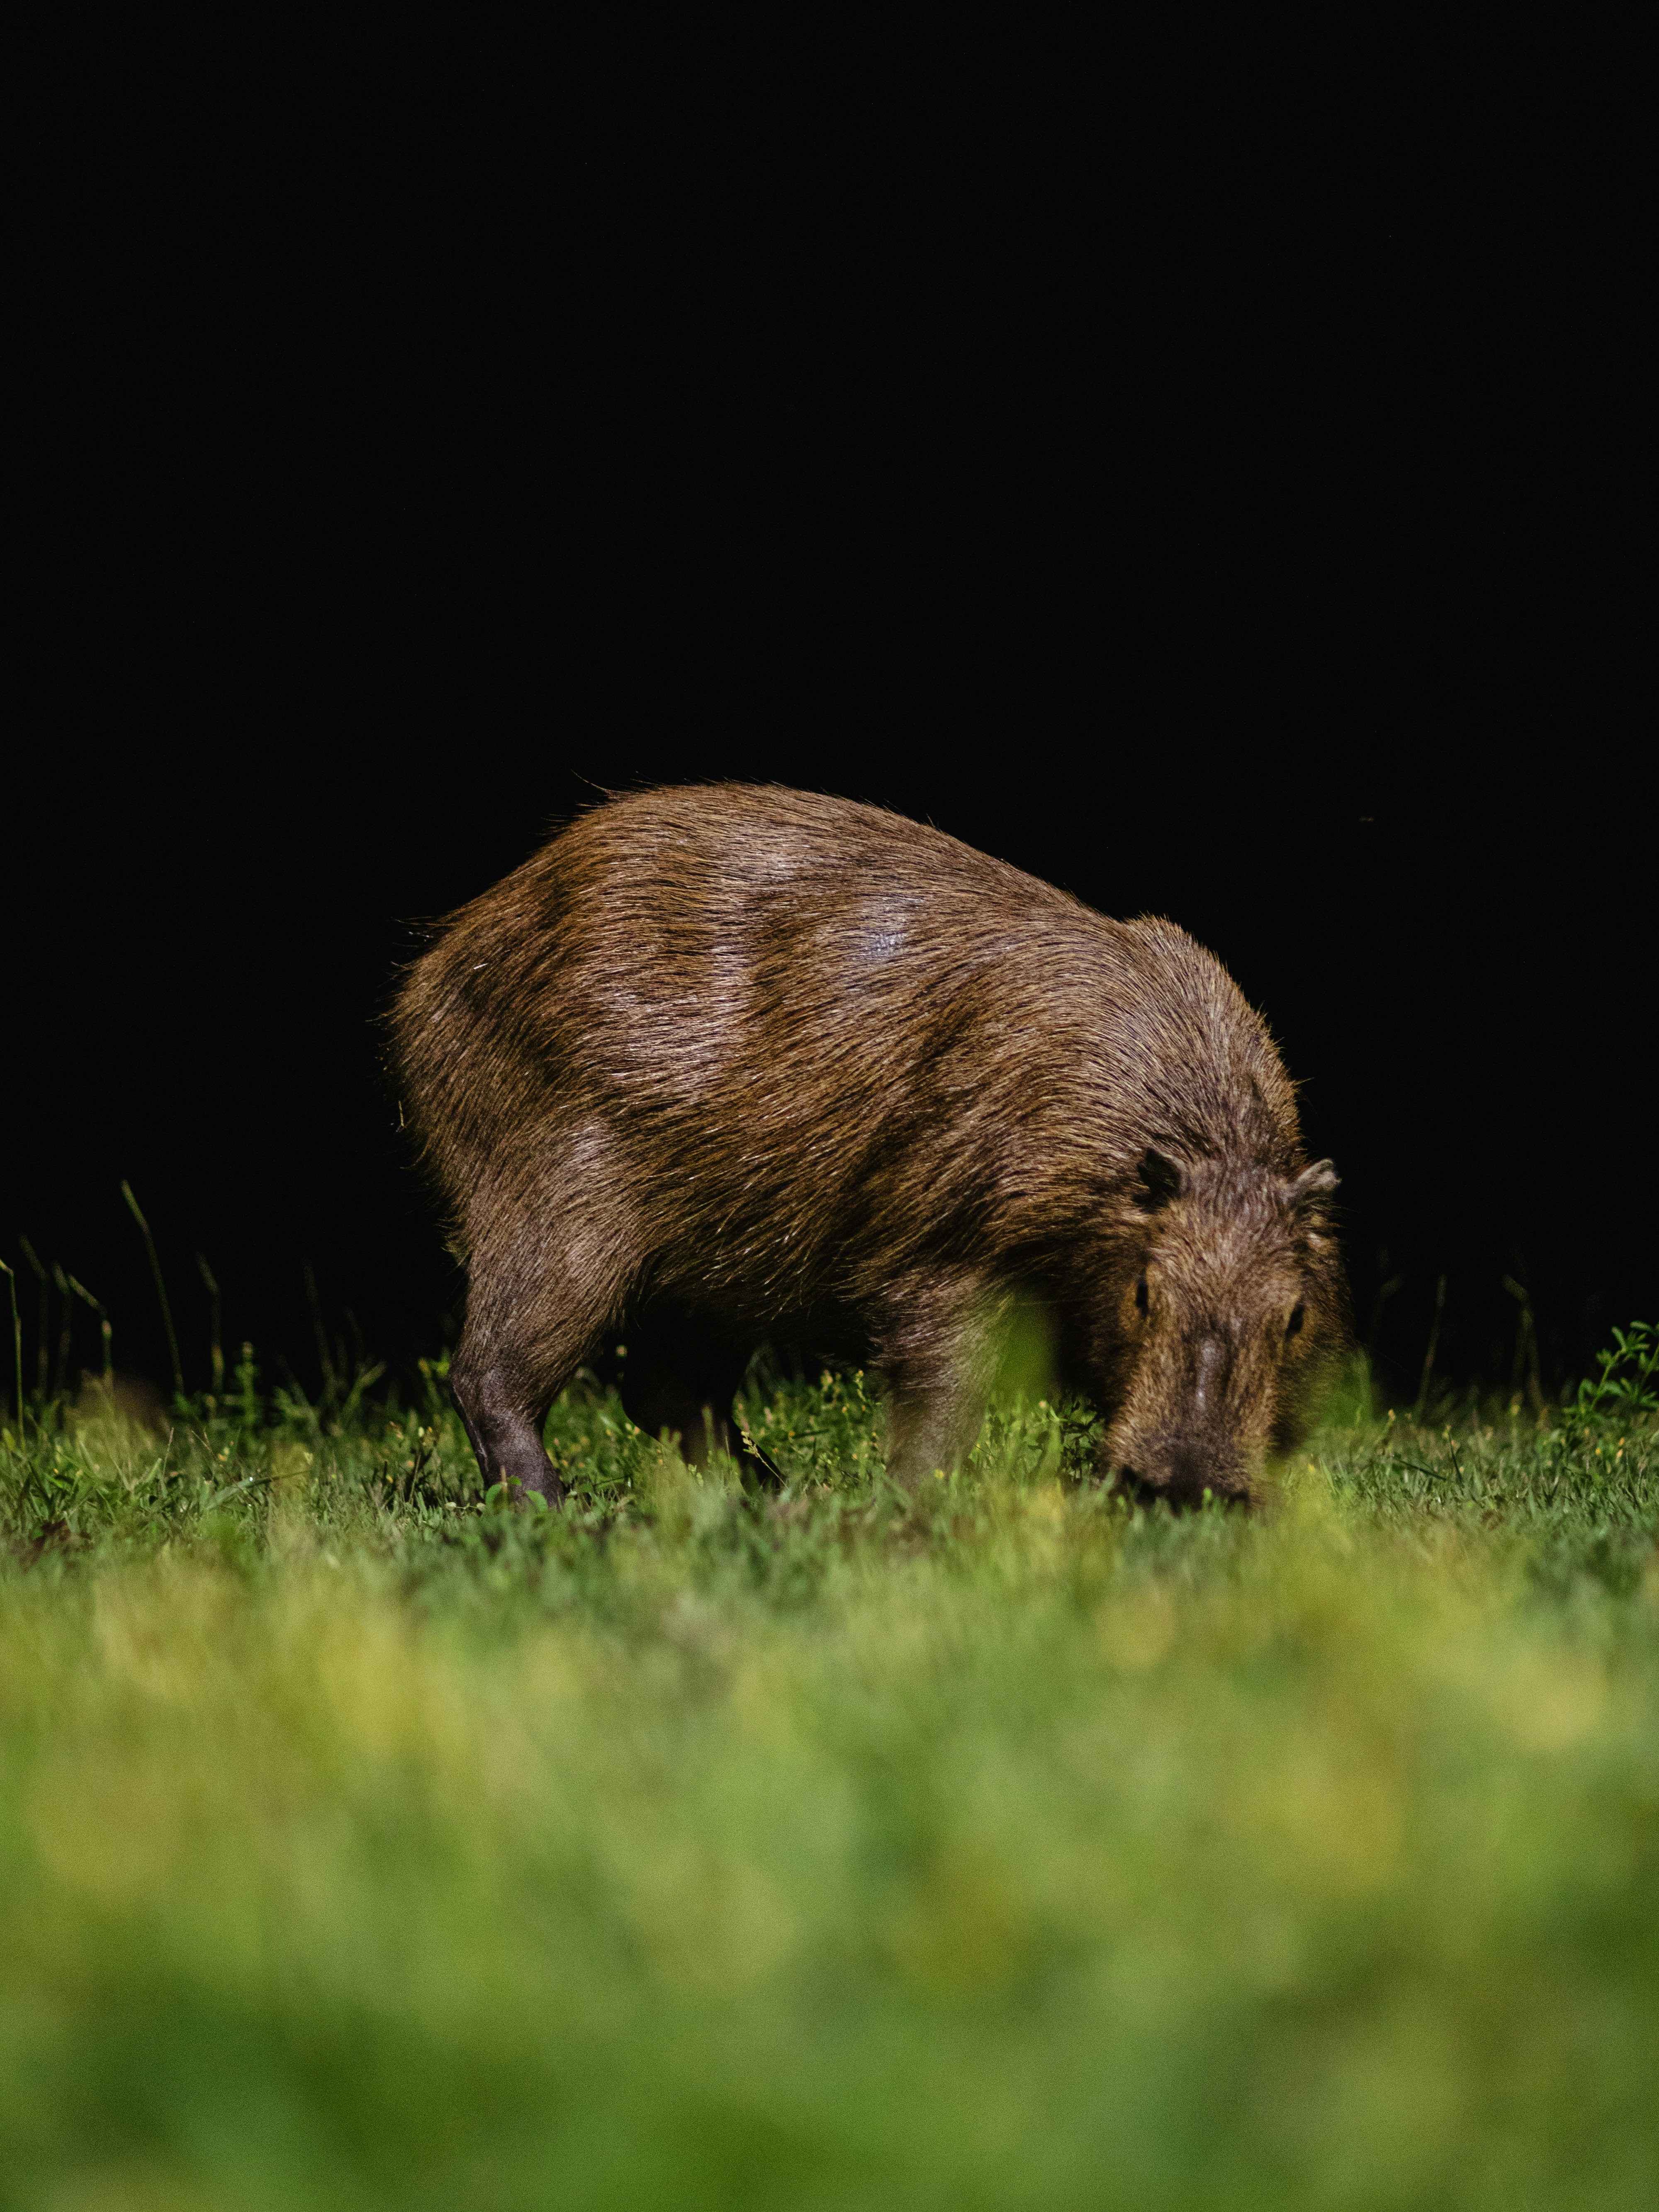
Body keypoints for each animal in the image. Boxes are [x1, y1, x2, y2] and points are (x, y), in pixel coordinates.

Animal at [390, 784, 1347, 1507]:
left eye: (1295, 1315)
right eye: (1145, 1293)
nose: (1182, 1486)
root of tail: (434, 976)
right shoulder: (945, 1234)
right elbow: (941, 1376)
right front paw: (910, 1504)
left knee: (665, 1389)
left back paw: (767, 1492)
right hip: (563, 1199)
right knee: (491, 1374)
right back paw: (557, 1510)